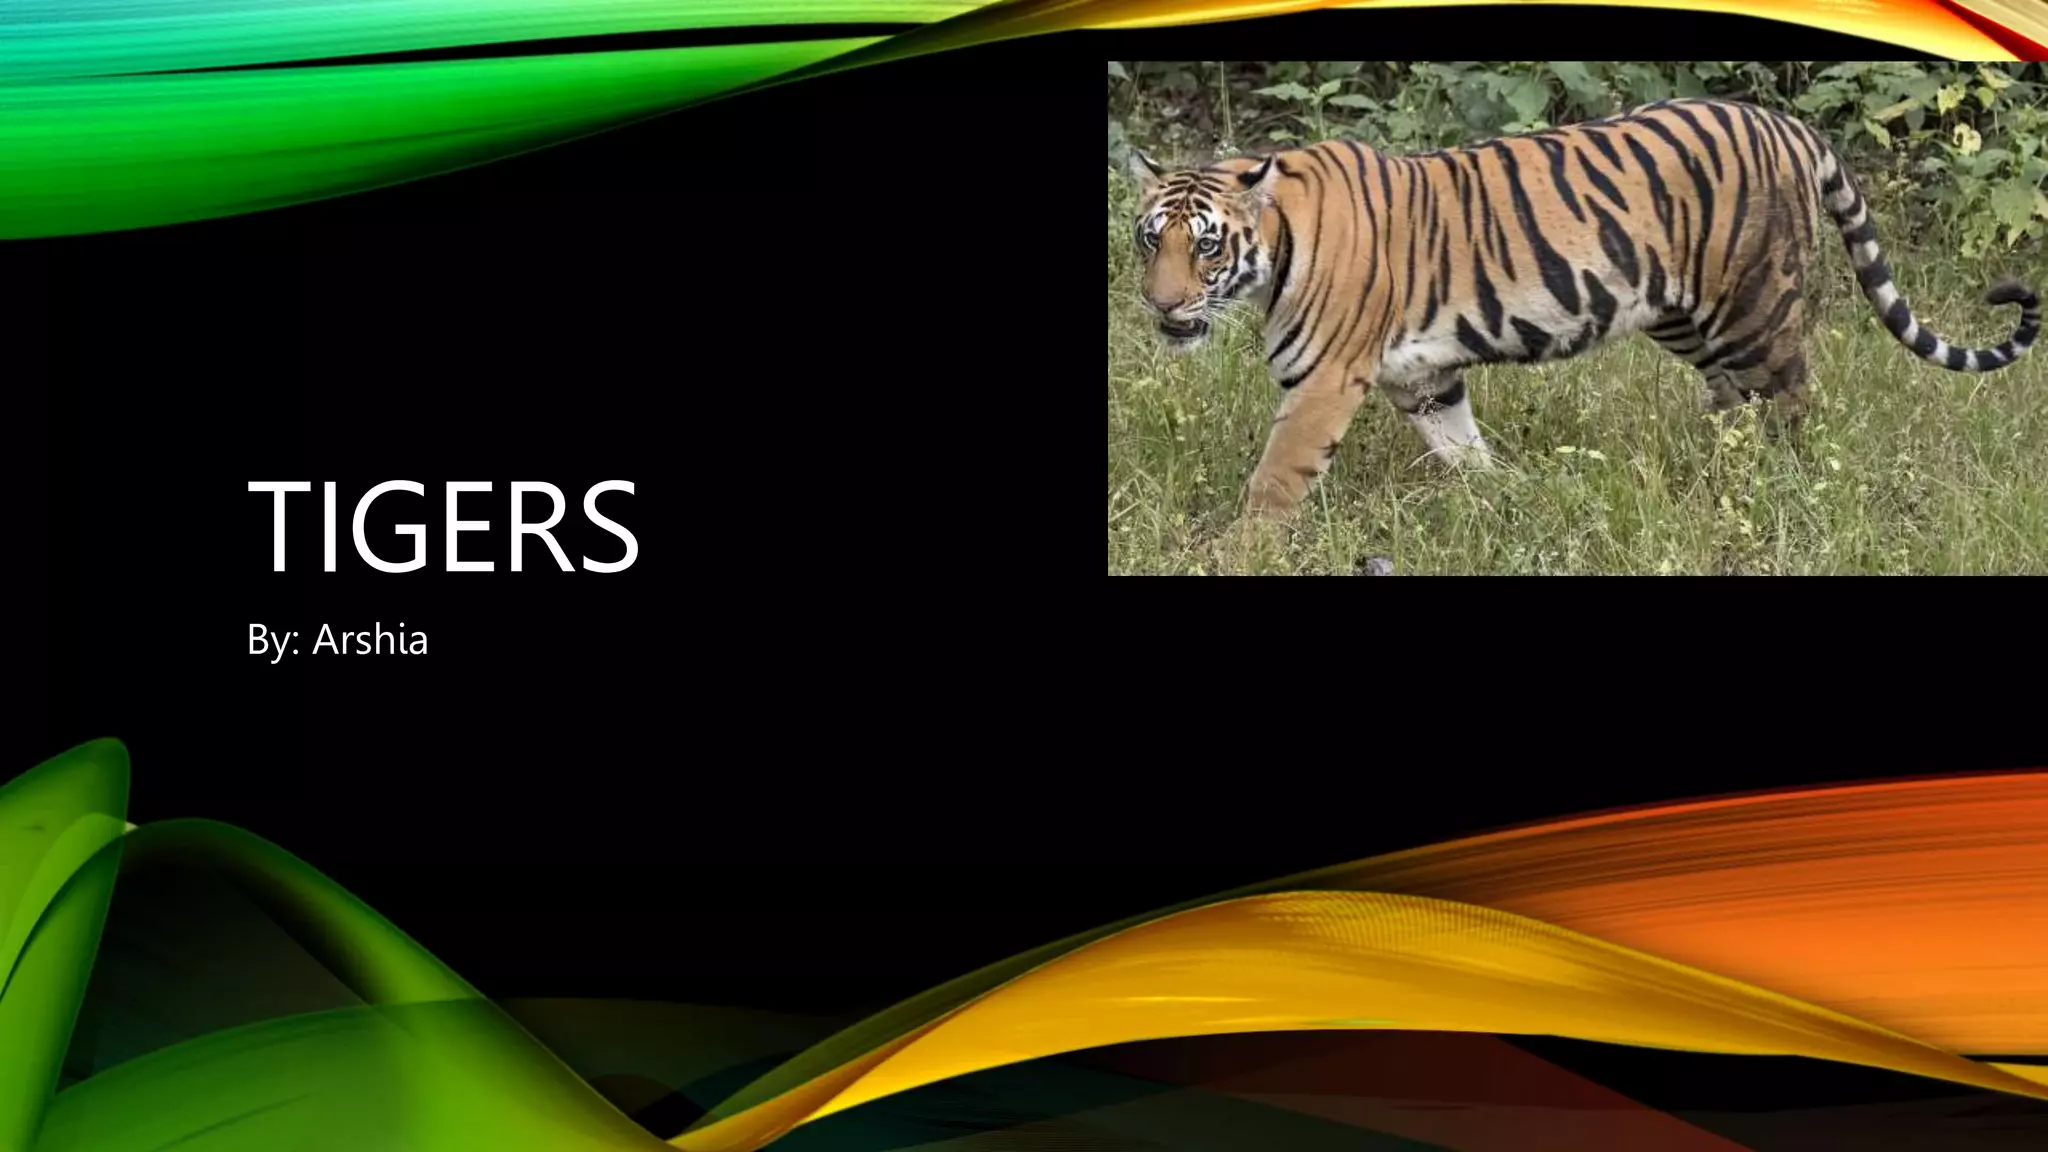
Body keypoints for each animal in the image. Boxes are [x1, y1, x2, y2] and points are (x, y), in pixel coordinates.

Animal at [1121, 97, 2041, 525]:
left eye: (1206, 247)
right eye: (1147, 241)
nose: (1161, 306)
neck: (1274, 249)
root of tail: (1786, 122)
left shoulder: (1323, 384)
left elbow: (1274, 481)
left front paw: (1240, 552)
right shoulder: (1423, 376)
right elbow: (1462, 447)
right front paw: (1504, 499)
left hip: (1752, 307)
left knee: (1790, 401)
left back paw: (1781, 487)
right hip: (1684, 316)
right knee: (1734, 403)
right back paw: (1713, 472)